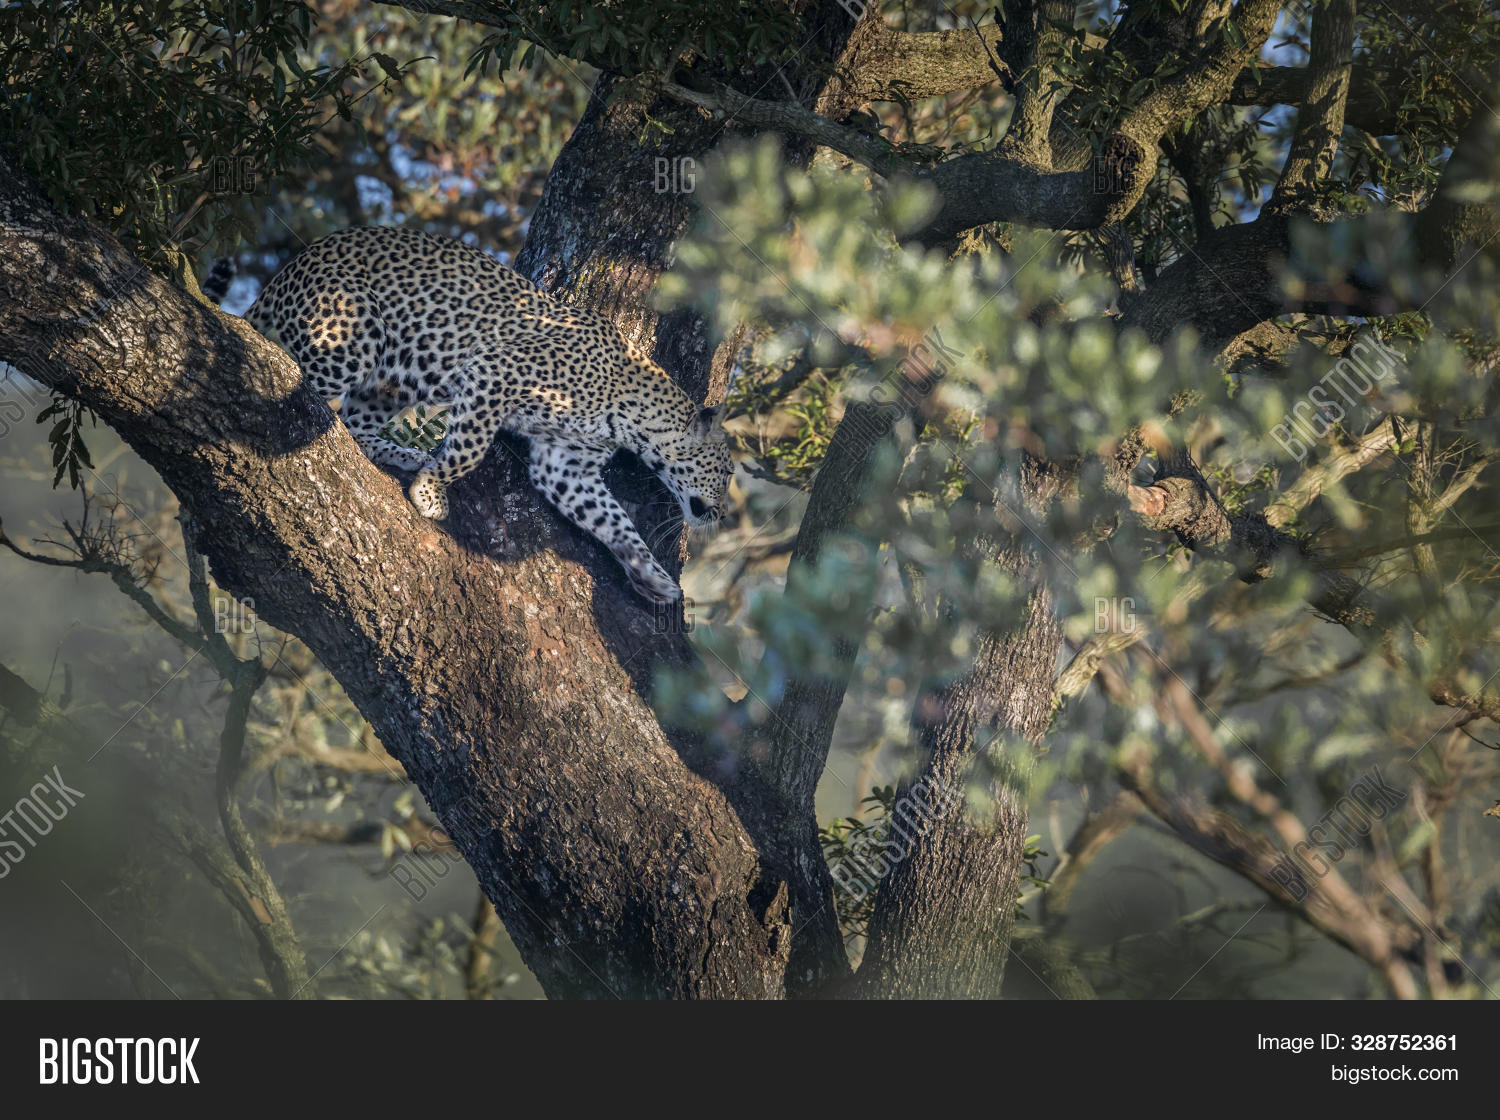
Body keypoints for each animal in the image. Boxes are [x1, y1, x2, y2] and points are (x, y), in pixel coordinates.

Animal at [229, 225, 731, 604]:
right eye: (726, 474)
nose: (724, 515)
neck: (629, 414)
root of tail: (288, 270)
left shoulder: (565, 464)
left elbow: (615, 522)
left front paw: (651, 577)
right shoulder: (494, 373)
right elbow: (468, 451)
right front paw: (431, 492)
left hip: (393, 379)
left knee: (354, 425)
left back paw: (405, 454)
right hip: (353, 334)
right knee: (298, 384)